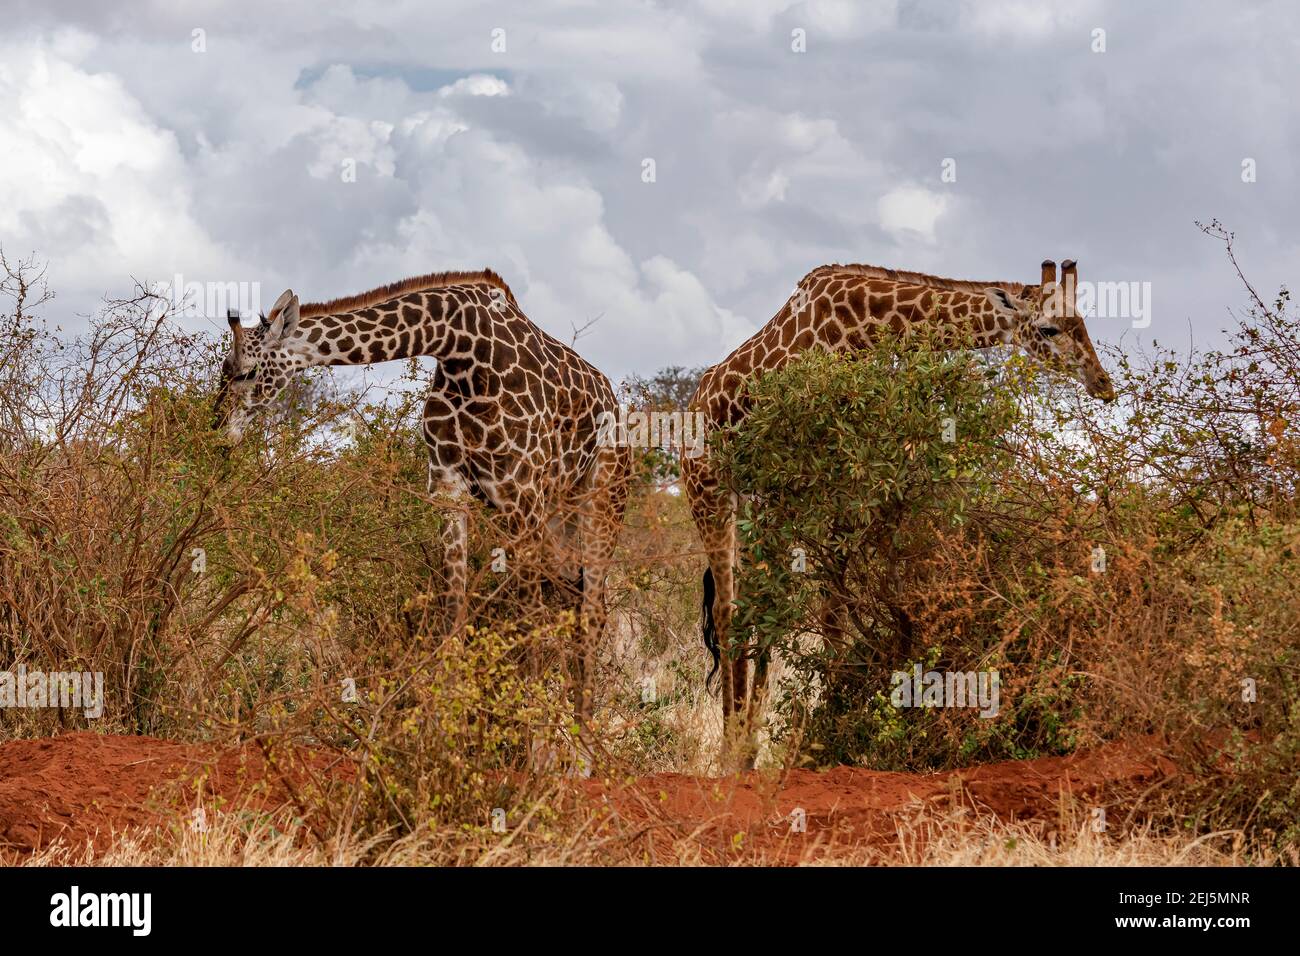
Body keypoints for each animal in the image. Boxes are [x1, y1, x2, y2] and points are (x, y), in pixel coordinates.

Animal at [212, 269, 632, 720]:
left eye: (247, 373)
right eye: (223, 369)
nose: (217, 433)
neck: (459, 347)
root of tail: (616, 406)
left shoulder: (520, 493)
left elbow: (529, 615)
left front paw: (528, 730)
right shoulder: (449, 487)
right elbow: (453, 610)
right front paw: (445, 716)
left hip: (601, 500)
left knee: (591, 612)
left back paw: (582, 737)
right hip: (558, 518)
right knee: (575, 604)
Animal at [683, 259, 1115, 757]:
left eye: (1083, 323)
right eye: (1048, 329)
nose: (1103, 385)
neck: (861, 327)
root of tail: (692, 404)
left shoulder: (841, 478)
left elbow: (834, 611)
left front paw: (827, 728)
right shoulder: (804, 477)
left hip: (753, 503)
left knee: (750, 605)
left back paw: (745, 743)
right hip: (711, 494)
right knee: (728, 611)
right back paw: (732, 749)